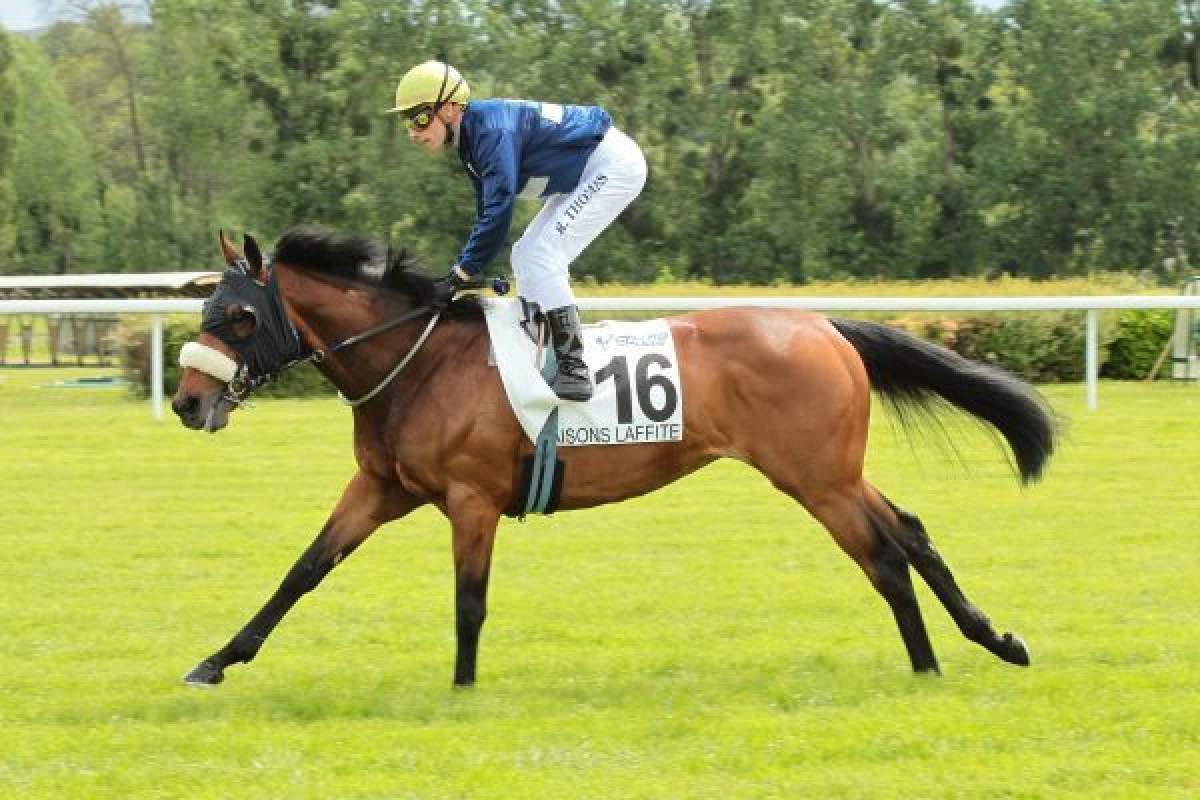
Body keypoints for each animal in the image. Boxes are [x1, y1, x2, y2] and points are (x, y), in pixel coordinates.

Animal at [172, 228, 1056, 688]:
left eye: (240, 316)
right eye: (208, 306)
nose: (185, 401)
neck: (418, 362)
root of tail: (826, 326)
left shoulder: (471, 498)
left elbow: (468, 602)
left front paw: (461, 690)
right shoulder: (381, 487)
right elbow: (302, 571)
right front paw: (215, 661)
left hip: (816, 477)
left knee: (883, 553)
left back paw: (939, 660)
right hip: (832, 472)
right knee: (908, 532)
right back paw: (982, 646)